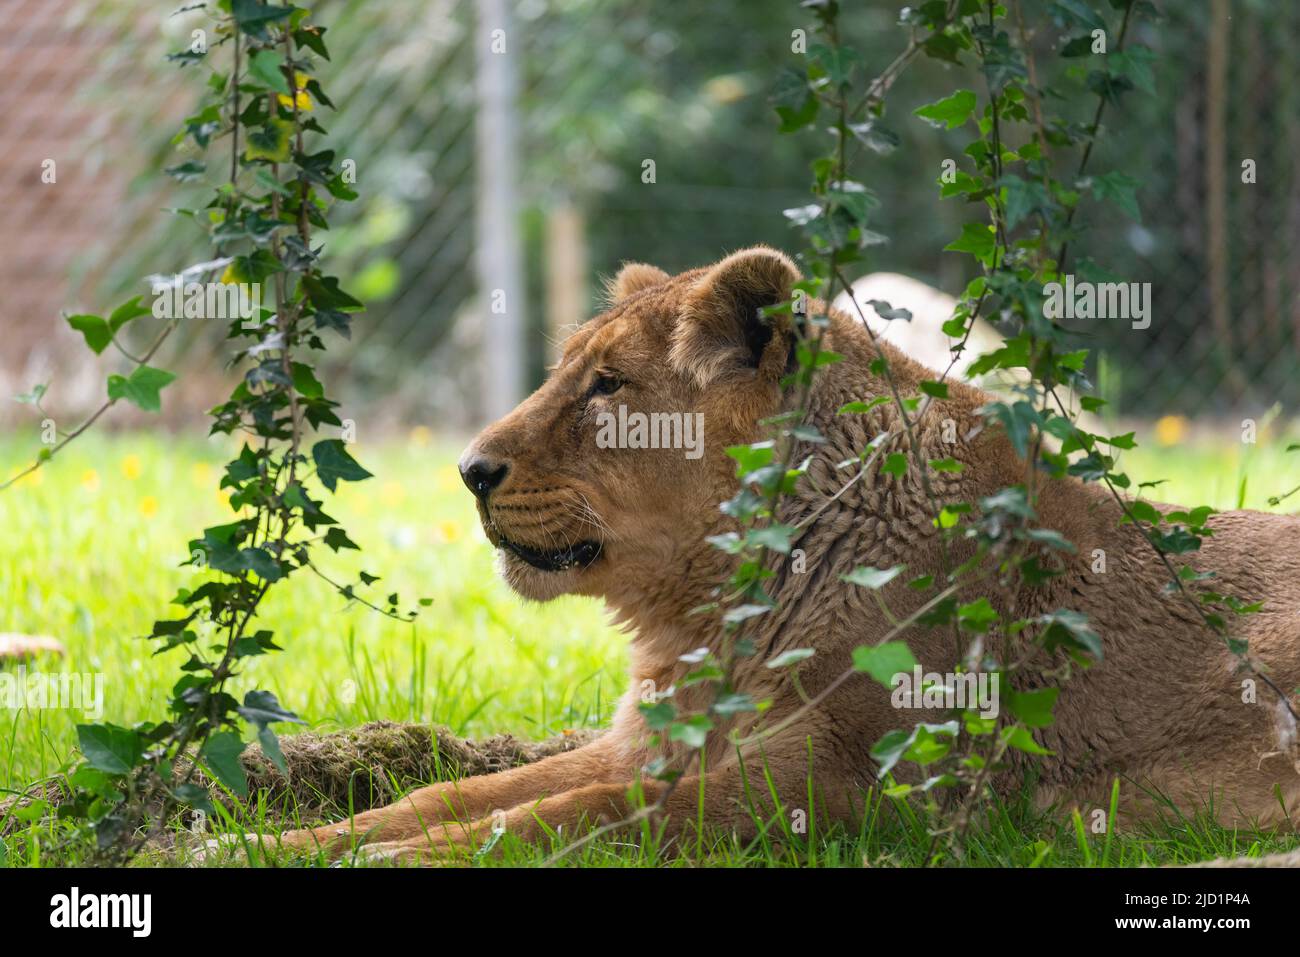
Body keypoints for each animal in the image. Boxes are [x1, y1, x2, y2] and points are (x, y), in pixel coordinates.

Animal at [272, 246, 1300, 863]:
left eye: (607, 385)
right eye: (569, 370)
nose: (468, 469)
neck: (706, 614)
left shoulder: (863, 789)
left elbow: (588, 814)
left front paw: (396, 859)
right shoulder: (653, 739)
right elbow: (454, 790)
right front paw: (293, 841)